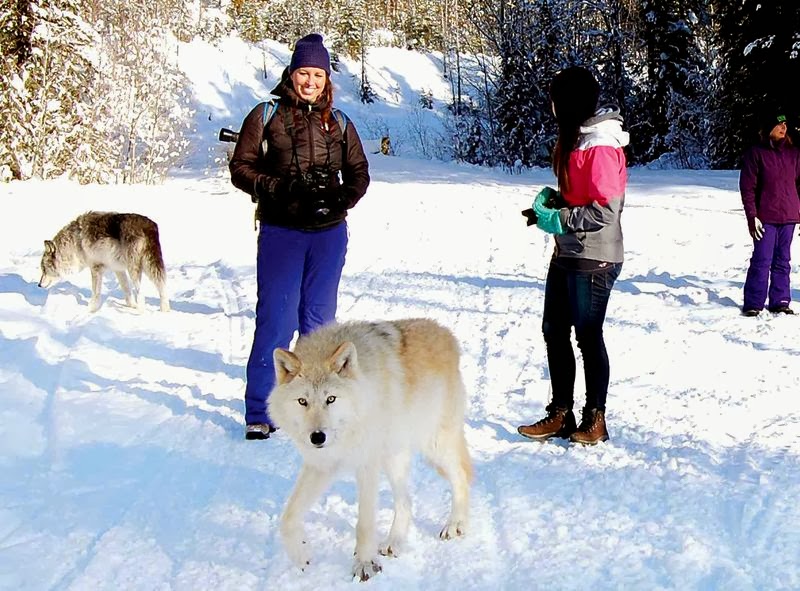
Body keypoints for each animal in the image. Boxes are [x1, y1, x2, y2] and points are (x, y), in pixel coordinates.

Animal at [38, 211, 170, 312]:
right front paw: (131, 306)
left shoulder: (96, 269)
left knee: (141, 293)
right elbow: (127, 291)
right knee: (162, 287)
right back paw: (164, 311)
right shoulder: (118, 270)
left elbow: (95, 293)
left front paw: (90, 310)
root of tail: (149, 226)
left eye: (44, 269)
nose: (38, 285)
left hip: (134, 269)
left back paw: (140, 313)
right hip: (151, 266)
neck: (75, 243)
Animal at [268, 318, 473, 582]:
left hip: (434, 448)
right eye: (303, 401)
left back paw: (455, 524)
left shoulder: (367, 464)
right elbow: (288, 517)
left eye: (331, 399)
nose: (317, 437)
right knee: (406, 501)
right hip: (394, 457)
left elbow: (364, 524)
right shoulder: (321, 464)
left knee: (461, 478)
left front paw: (364, 564)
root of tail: (445, 332)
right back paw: (394, 542)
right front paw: (301, 555)